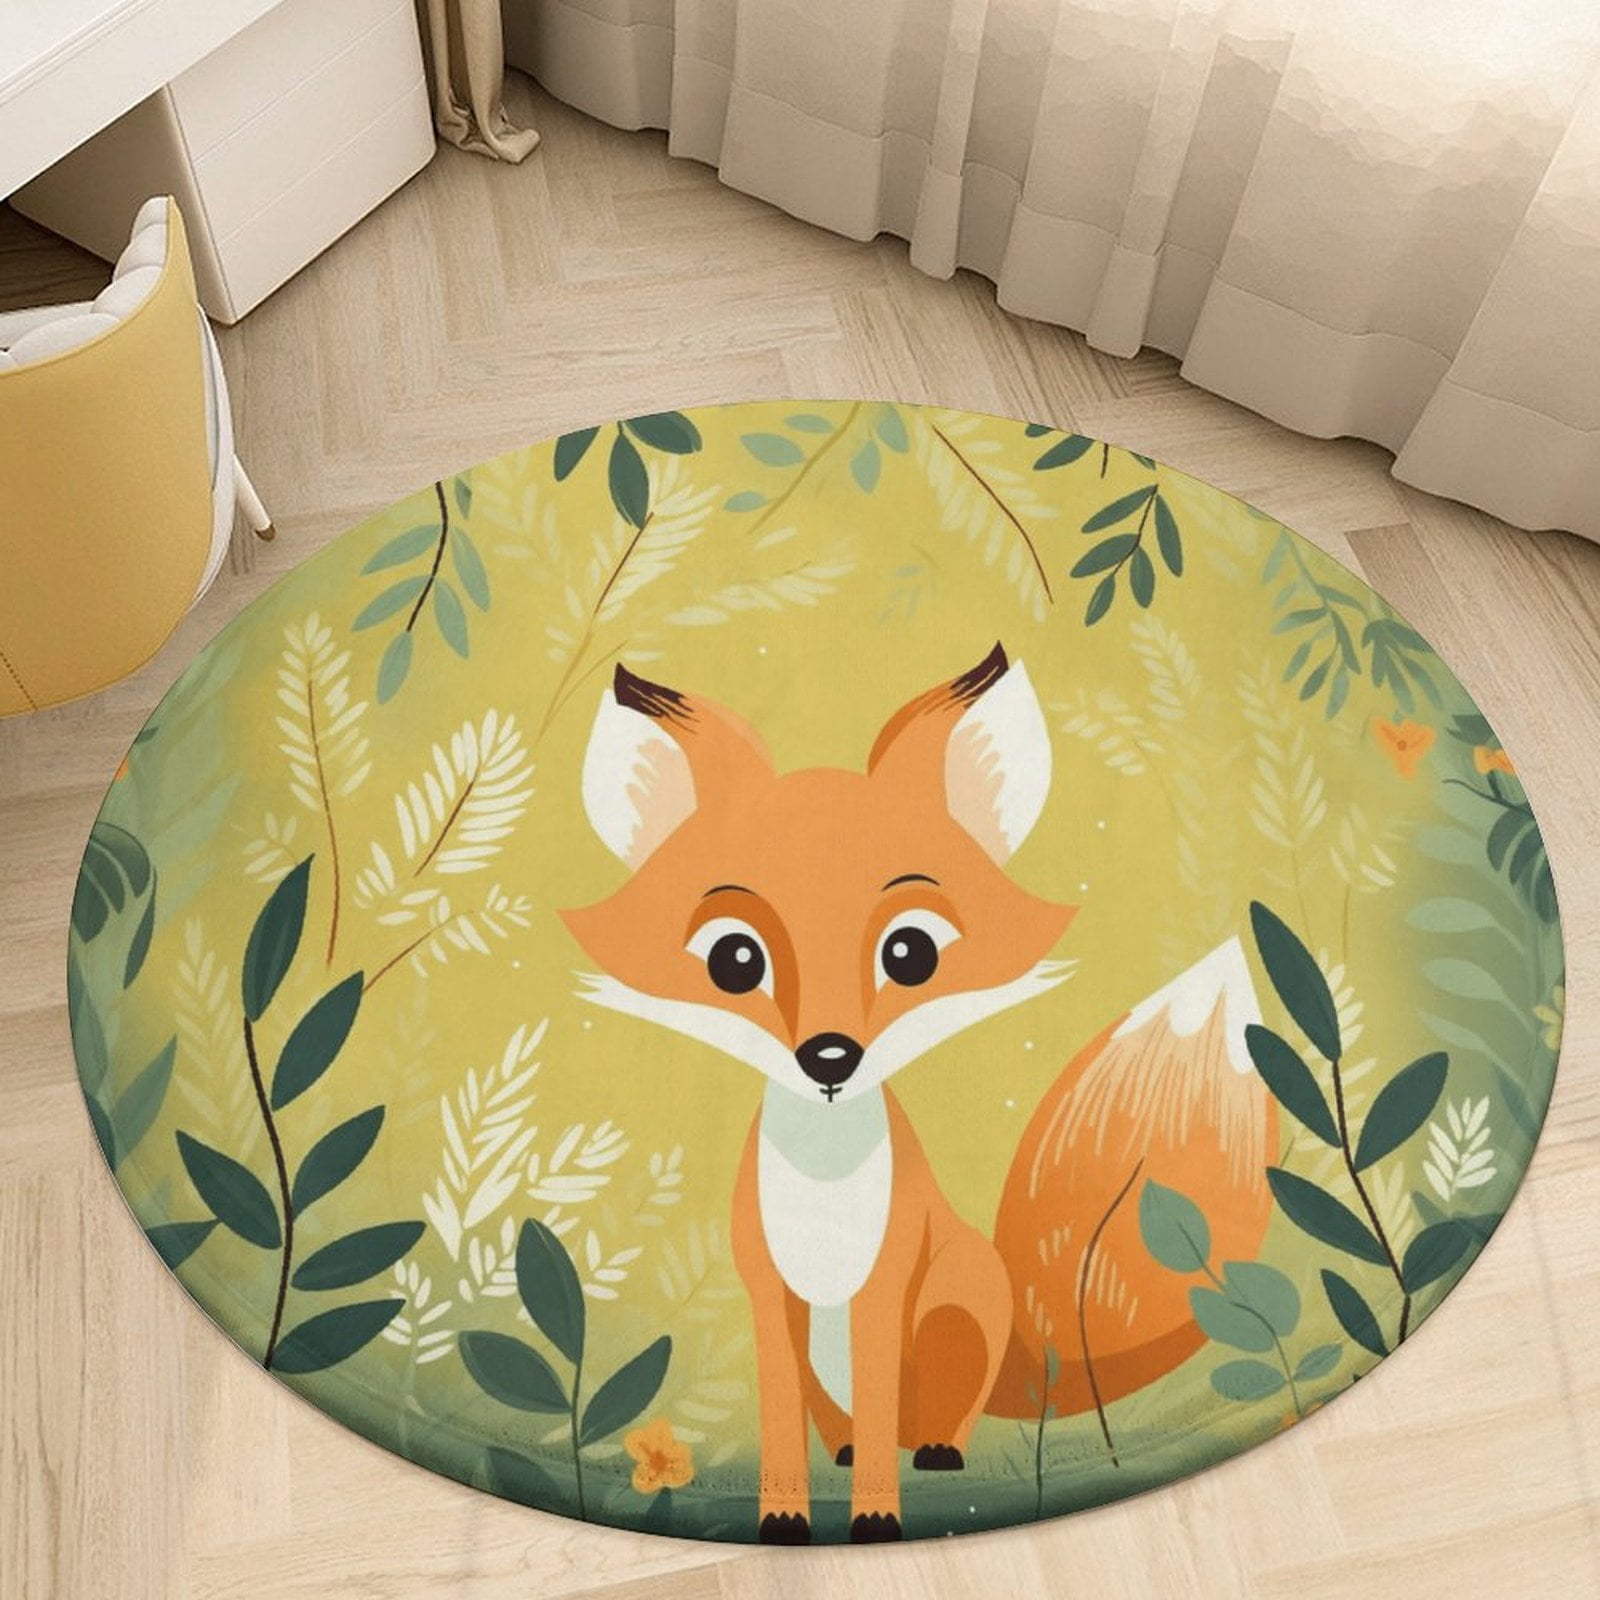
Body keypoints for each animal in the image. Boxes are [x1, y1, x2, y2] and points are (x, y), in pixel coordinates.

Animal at [561, 643, 1275, 1543]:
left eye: (909, 953)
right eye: (734, 960)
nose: (829, 1058)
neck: (824, 1188)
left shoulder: (886, 1282)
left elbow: (877, 1424)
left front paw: (873, 1518)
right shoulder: (767, 1297)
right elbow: (781, 1425)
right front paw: (785, 1517)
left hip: (953, 1314)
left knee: (933, 1421)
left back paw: (936, 1451)